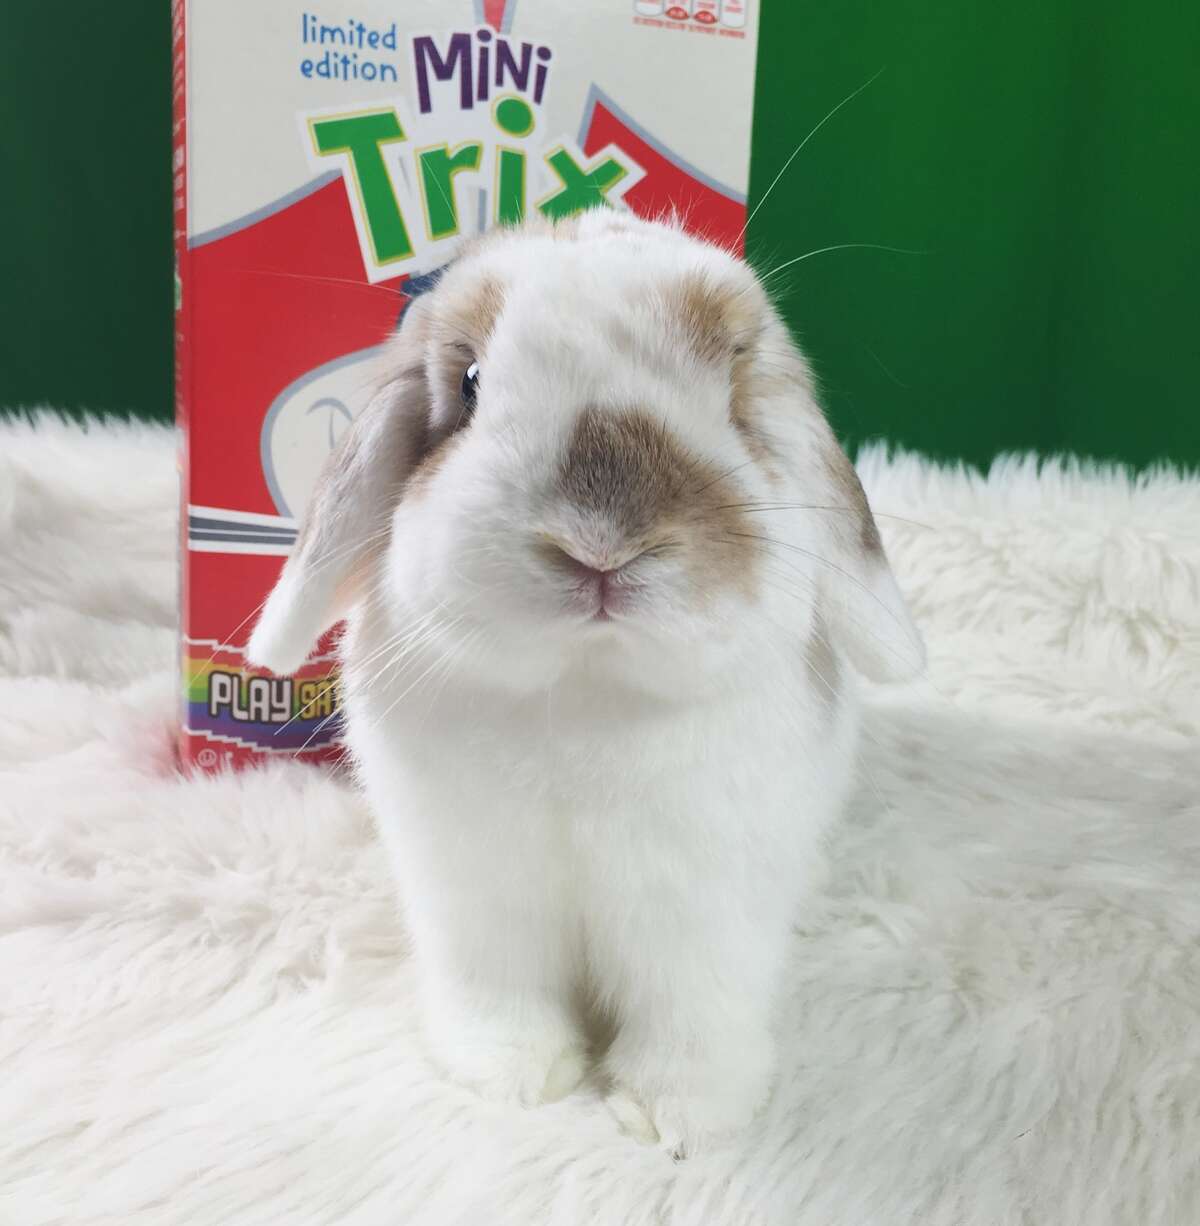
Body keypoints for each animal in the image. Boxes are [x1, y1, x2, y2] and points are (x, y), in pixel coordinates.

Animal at [247, 209, 925, 1157]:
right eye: (469, 384)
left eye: (733, 389)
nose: (601, 541)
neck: (583, 695)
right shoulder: (476, 896)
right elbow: (499, 992)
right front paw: (510, 1075)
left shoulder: (706, 913)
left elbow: (693, 1013)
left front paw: (682, 1117)